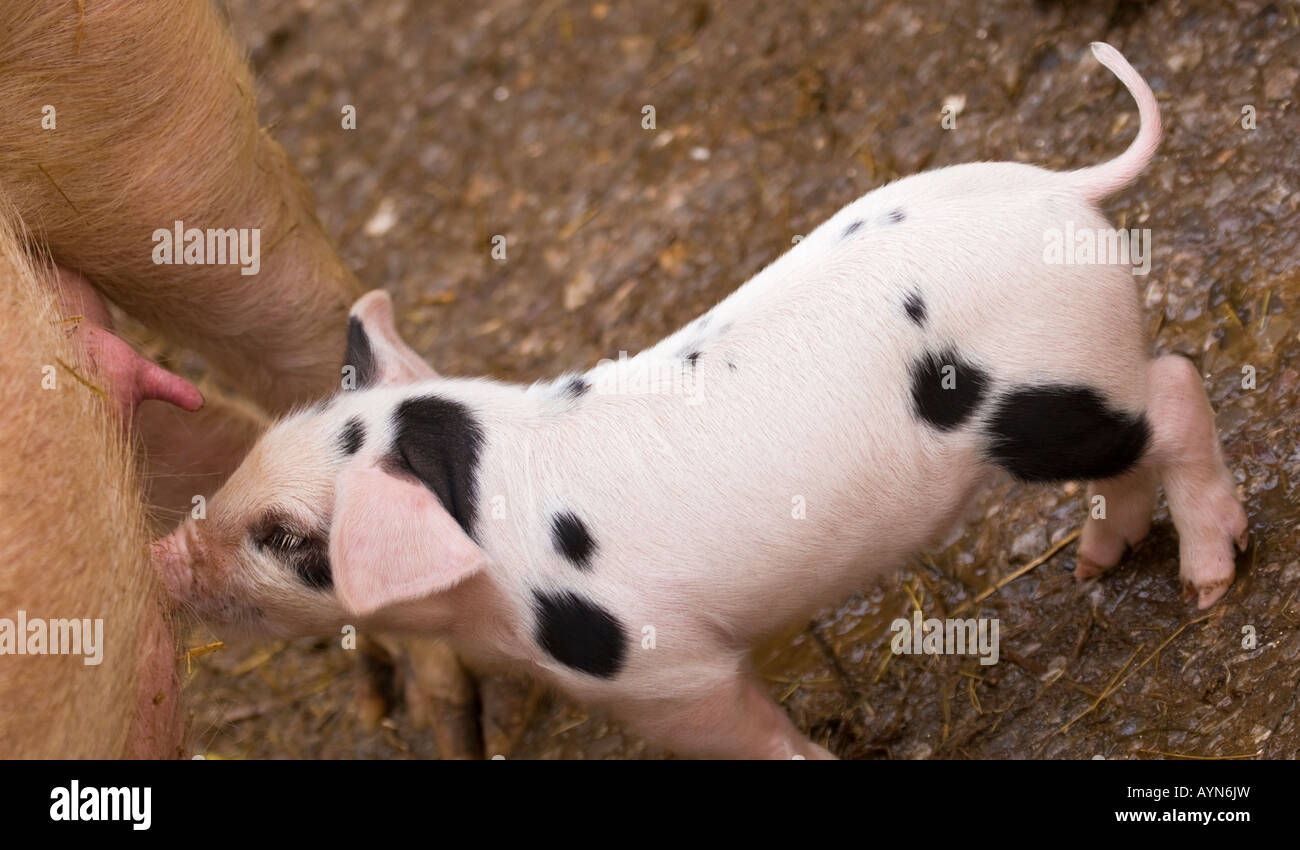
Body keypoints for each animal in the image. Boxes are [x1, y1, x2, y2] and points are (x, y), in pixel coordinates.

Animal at [154, 44, 1248, 759]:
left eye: (289, 538)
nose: (164, 558)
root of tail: (1067, 189)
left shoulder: (664, 668)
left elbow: (741, 728)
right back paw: (1095, 565)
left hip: (1045, 395)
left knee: (1178, 386)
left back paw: (1207, 583)